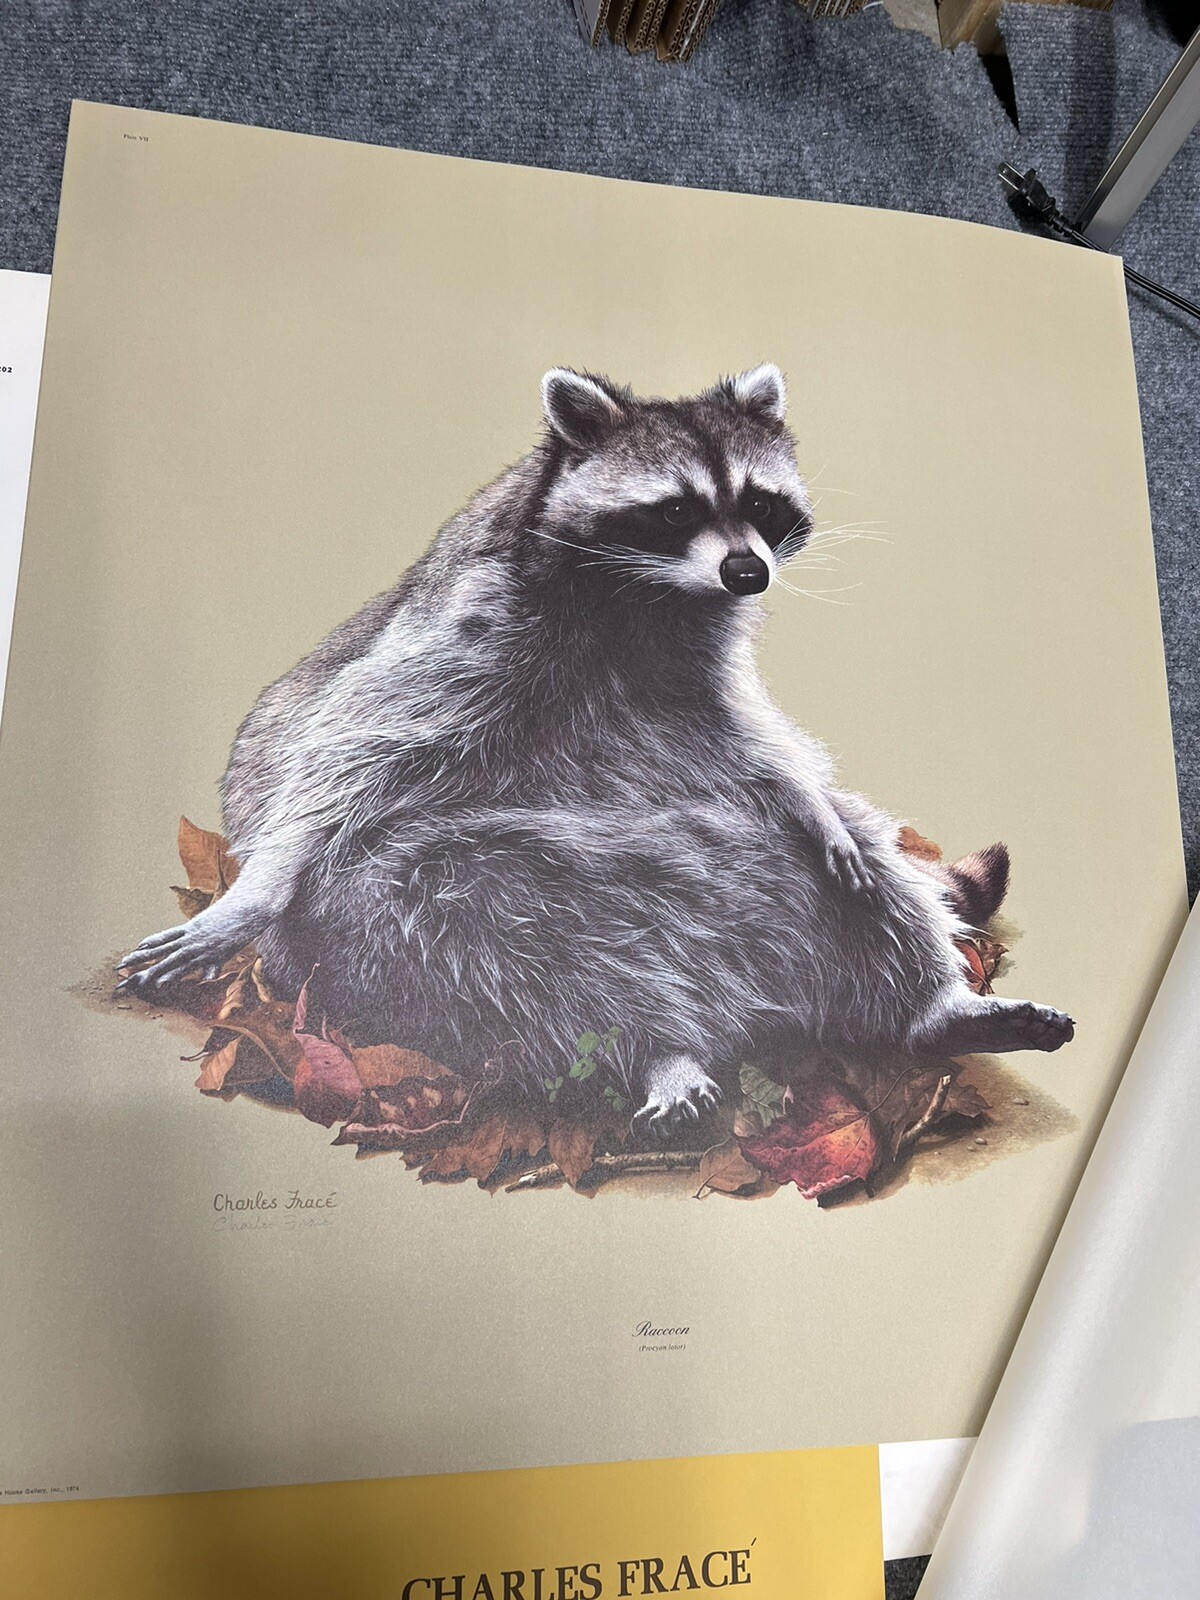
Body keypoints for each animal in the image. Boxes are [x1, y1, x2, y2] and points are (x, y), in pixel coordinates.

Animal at [119, 364, 1073, 1135]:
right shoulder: (471, 622)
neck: (643, 597)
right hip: (390, 928)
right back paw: (660, 1046)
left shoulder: (697, 665)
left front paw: (808, 799)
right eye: (677, 508)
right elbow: (356, 748)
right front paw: (256, 886)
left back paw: (930, 1007)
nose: (749, 572)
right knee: (506, 943)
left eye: (760, 504)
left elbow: (750, 744)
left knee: (871, 874)